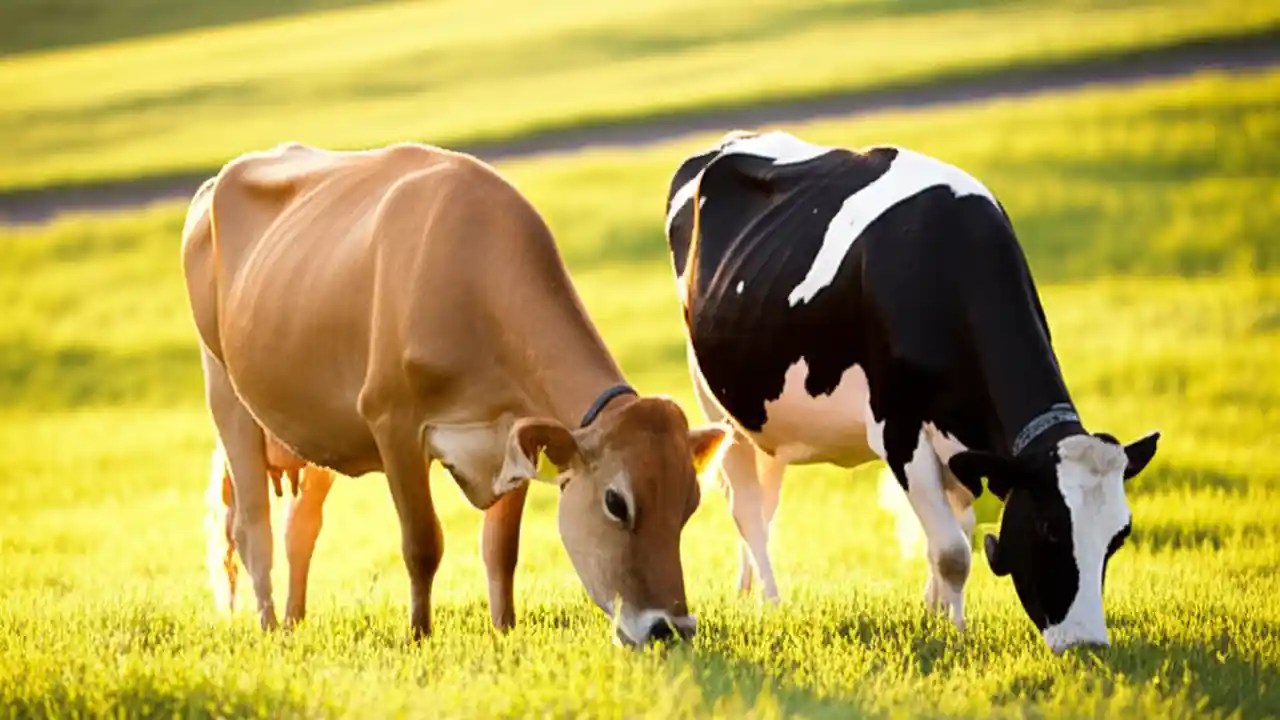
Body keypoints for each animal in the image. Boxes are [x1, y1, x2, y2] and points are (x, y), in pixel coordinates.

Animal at [182, 142, 729, 646]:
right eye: (617, 502)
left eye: (690, 503)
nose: (670, 628)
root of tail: (216, 182)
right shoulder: (392, 421)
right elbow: (422, 543)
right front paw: (419, 637)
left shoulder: (515, 432)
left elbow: (501, 550)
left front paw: (505, 631)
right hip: (224, 391)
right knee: (253, 527)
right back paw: (271, 627)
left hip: (313, 421)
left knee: (302, 526)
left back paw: (295, 623)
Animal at [663, 130, 1159, 653]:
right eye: (1048, 527)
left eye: (1119, 535)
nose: (1089, 644)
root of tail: (732, 140)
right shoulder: (899, 430)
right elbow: (953, 551)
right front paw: (956, 633)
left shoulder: (963, 442)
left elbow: (954, 532)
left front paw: (937, 613)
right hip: (718, 408)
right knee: (747, 510)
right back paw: (773, 601)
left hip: (765, 415)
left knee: (766, 501)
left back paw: (747, 589)